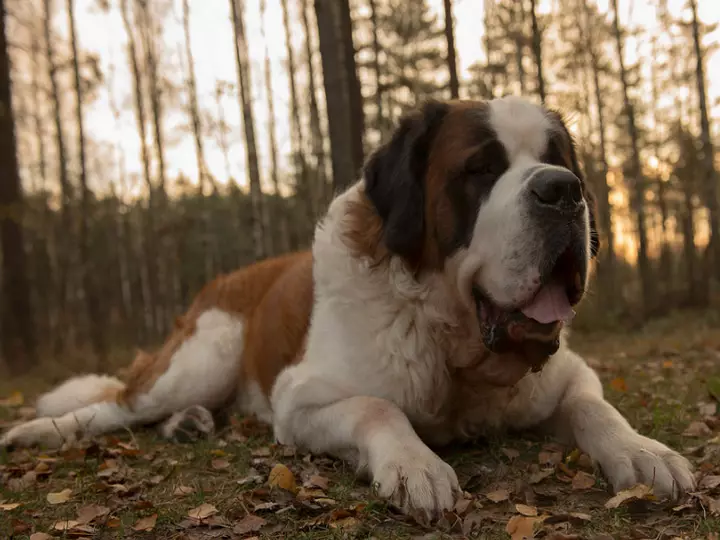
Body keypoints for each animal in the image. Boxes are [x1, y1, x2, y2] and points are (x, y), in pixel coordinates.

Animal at [1, 96, 696, 520]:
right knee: (115, 406)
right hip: (202, 356)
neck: (456, 350)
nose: (562, 191)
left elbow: (594, 406)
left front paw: (644, 452)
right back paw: (42, 431)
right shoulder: (300, 401)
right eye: (480, 170)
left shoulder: (567, 373)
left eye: (559, 161)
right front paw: (417, 465)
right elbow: (377, 406)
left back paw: (191, 425)